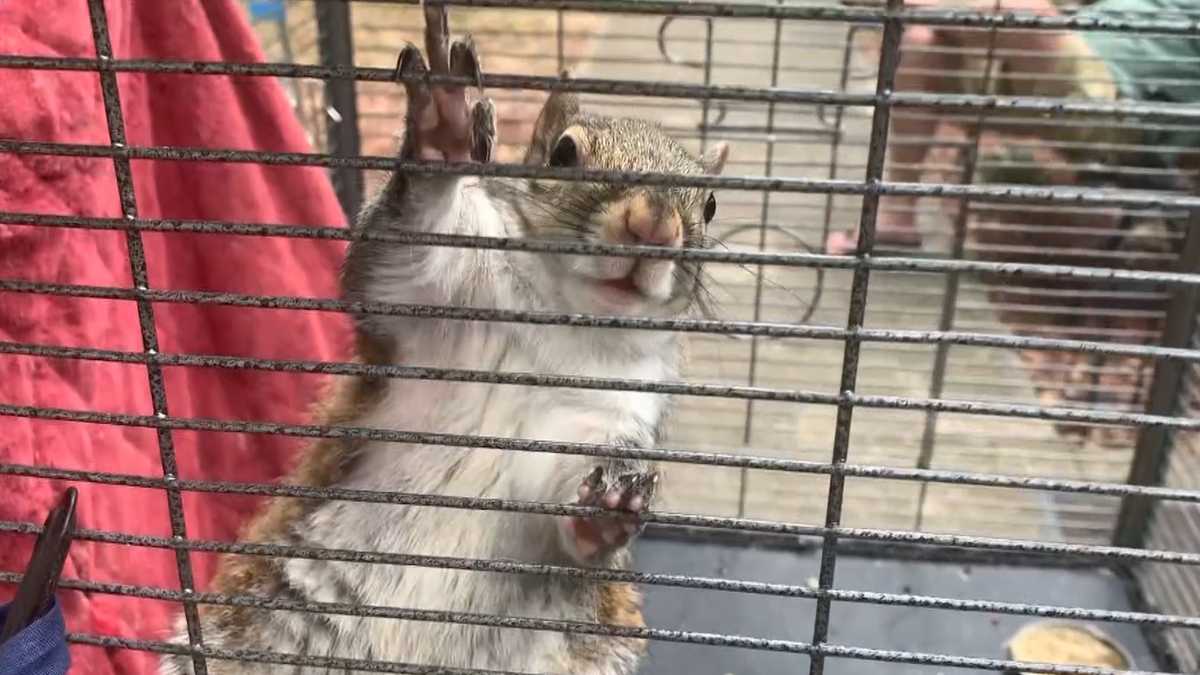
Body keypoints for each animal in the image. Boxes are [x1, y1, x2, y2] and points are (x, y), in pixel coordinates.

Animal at [161, 4, 728, 674]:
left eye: (711, 206)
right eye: (563, 154)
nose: (655, 226)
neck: (567, 326)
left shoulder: (611, 414)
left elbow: (561, 498)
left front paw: (609, 514)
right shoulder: (429, 297)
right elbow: (408, 250)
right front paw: (442, 125)